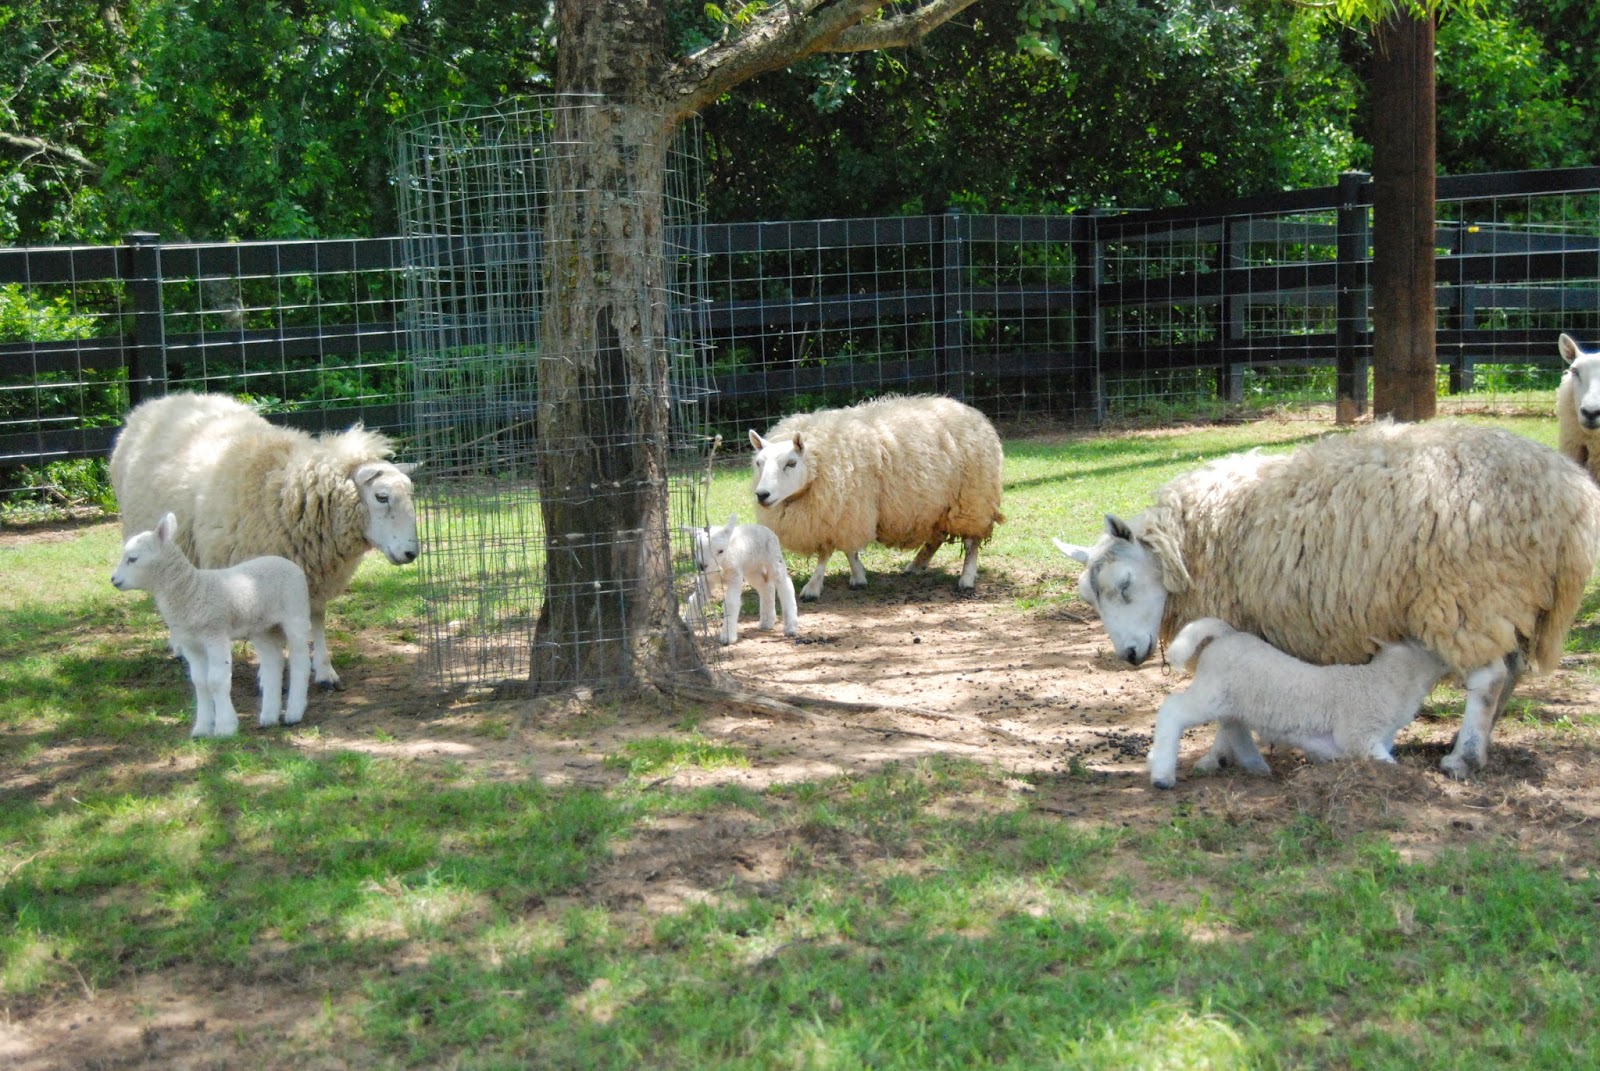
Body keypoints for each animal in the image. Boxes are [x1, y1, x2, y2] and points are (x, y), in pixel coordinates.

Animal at [109, 391, 419, 689]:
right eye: (382, 496)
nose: (411, 553)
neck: (290, 497)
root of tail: (161, 400)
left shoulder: (314, 578)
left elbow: (317, 620)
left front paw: (325, 671)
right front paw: (270, 674)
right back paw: (181, 647)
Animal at [112, 512, 313, 738]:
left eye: (132, 559)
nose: (114, 580)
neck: (191, 591)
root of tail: (287, 562)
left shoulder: (215, 634)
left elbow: (216, 681)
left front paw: (225, 727)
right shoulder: (191, 644)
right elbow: (200, 682)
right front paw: (201, 728)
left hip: (296, 611)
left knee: (300, 661)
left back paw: (294, 713)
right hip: (262, 627)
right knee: (273, 663)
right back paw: (269, 716)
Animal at [684, 515, 800, 645]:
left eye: (721, 551)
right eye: (697, 547)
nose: (702, 566)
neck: (722, 564)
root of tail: (763, 527)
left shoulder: (735, 576)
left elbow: (731, 603)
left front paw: (727, 637)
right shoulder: (706, 578)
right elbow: (695, 599)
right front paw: (686, 625)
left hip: (774, 558)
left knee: (785, 584)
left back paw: (790, 628)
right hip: (752, 570)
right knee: (766, 587)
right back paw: (767, 622)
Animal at [749, 395, 1004, 600]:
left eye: (791, 463)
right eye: (759, 463)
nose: (762, 495)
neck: (819, 463)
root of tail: (972, 412)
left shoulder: (842, 512)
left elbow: (826, 553)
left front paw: (812, 588)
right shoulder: (849, 512)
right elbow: (849, 550)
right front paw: (859, 576)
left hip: (971, 500)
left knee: (971, 542)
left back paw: (966, 579)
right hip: (937, 506)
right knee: (936, 537)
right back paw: (916, 565)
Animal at [1147, 617, 1448, 789]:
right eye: (1426, 645)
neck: (1383, 681)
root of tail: (1228, 634)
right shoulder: (1359, 733)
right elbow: (1384, 761)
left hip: (1233, 700)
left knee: (1233, 725)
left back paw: (1256, 766)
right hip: (1211, 693)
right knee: (1173, 711)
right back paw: (1162, 775)